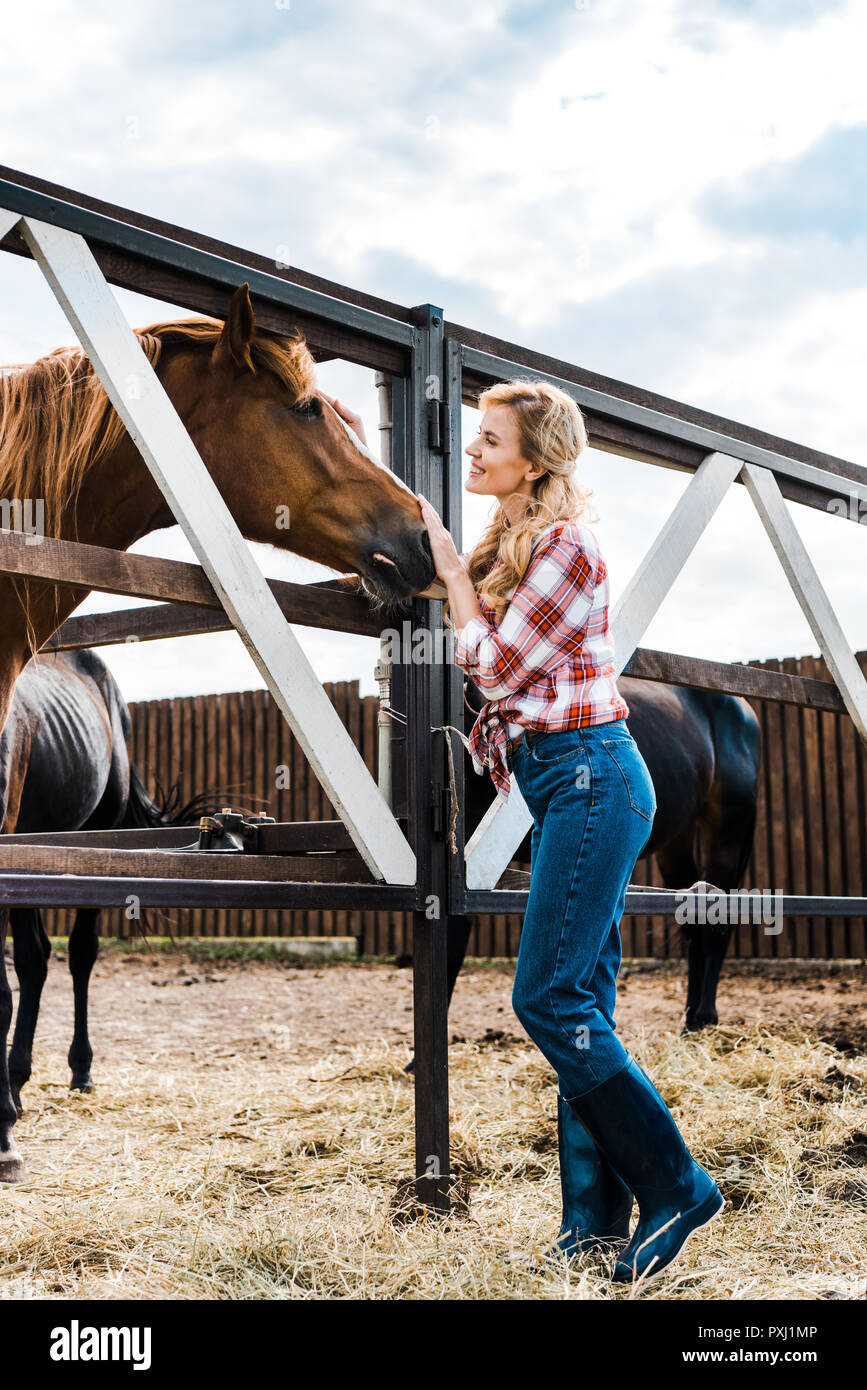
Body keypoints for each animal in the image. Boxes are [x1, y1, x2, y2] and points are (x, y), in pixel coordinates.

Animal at [444, 675, 761, 1035]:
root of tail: (743, 710)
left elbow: (452, 942)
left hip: (727, 829)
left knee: (716, 918)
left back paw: (703, 1019)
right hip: (676, 843)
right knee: (694, 912)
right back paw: (691, 1020)